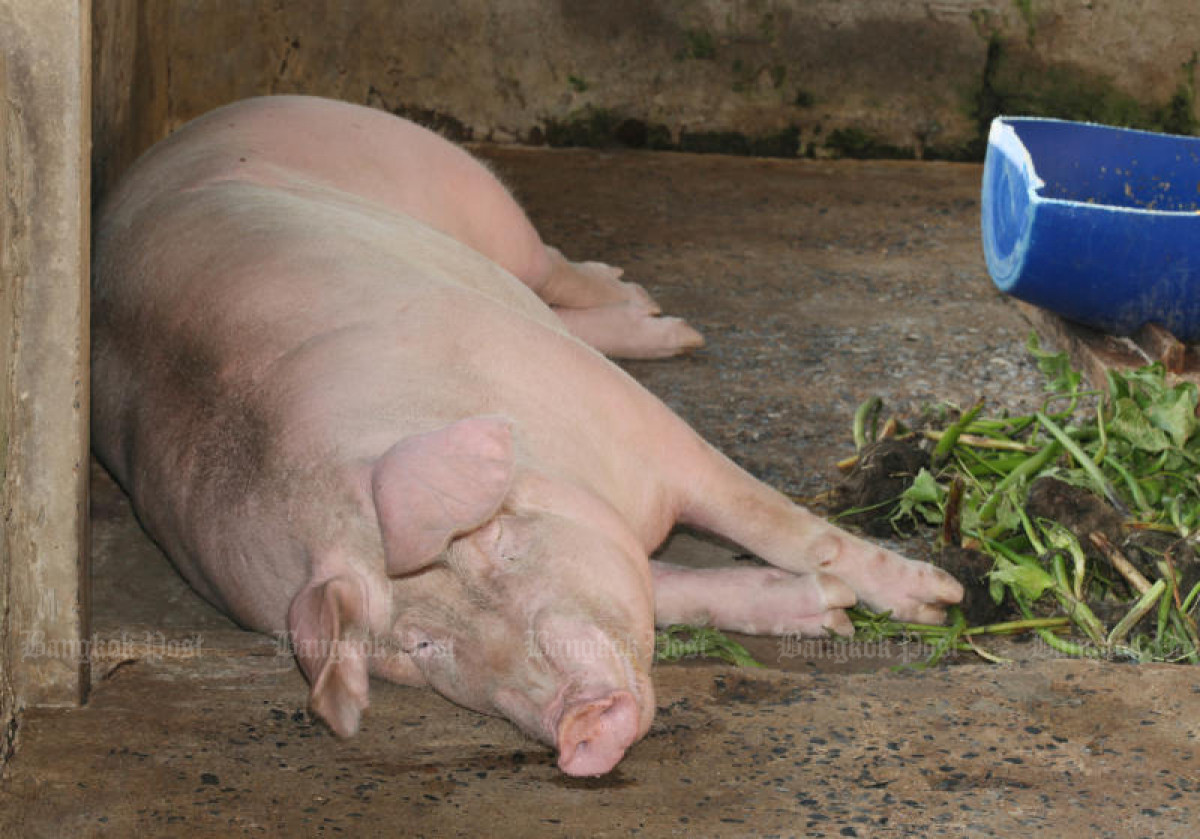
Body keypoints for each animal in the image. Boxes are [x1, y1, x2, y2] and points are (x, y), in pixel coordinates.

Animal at [91, 96, 962, 777]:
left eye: (496, 543)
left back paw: (658, 315)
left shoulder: (642, 423)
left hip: (463, 185)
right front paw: (832, 615)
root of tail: (200, 124)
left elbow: (778, 522)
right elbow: (669, 588)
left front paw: (931, 602)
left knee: (552, 266)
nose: (580, 721)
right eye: (419, 646)